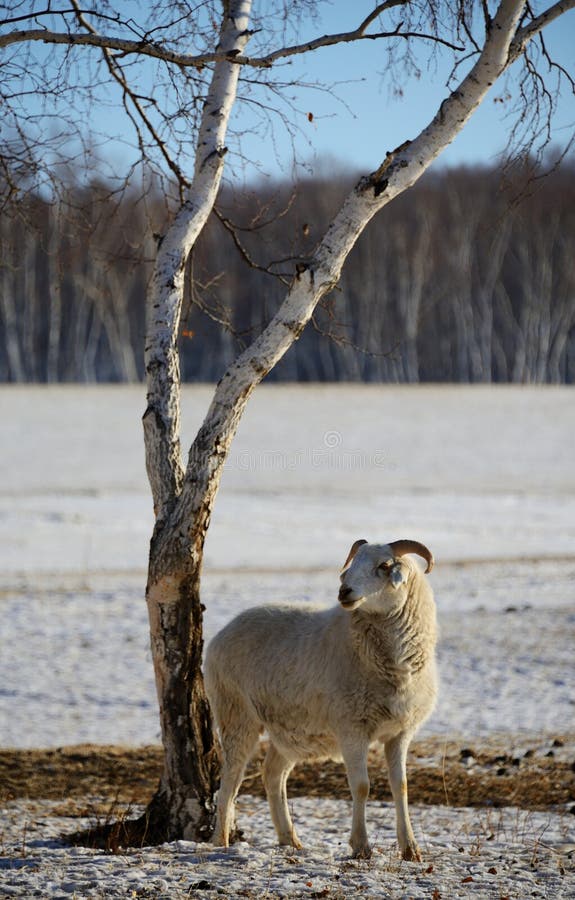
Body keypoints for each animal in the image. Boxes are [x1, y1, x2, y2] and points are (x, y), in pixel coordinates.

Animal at [204, 538, 437, 861]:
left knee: (272, 774)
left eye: (384, 565)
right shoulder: (352, 729)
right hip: (237, 716)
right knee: (231, 781)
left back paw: (290, 840)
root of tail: (222, 633)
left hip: (287, 731)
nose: (344, 592)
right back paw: (221, 841)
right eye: (353, 564)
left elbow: (400, 786)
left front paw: (410, 850)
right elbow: (361, 787)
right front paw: (361, 846)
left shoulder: (400, 733)